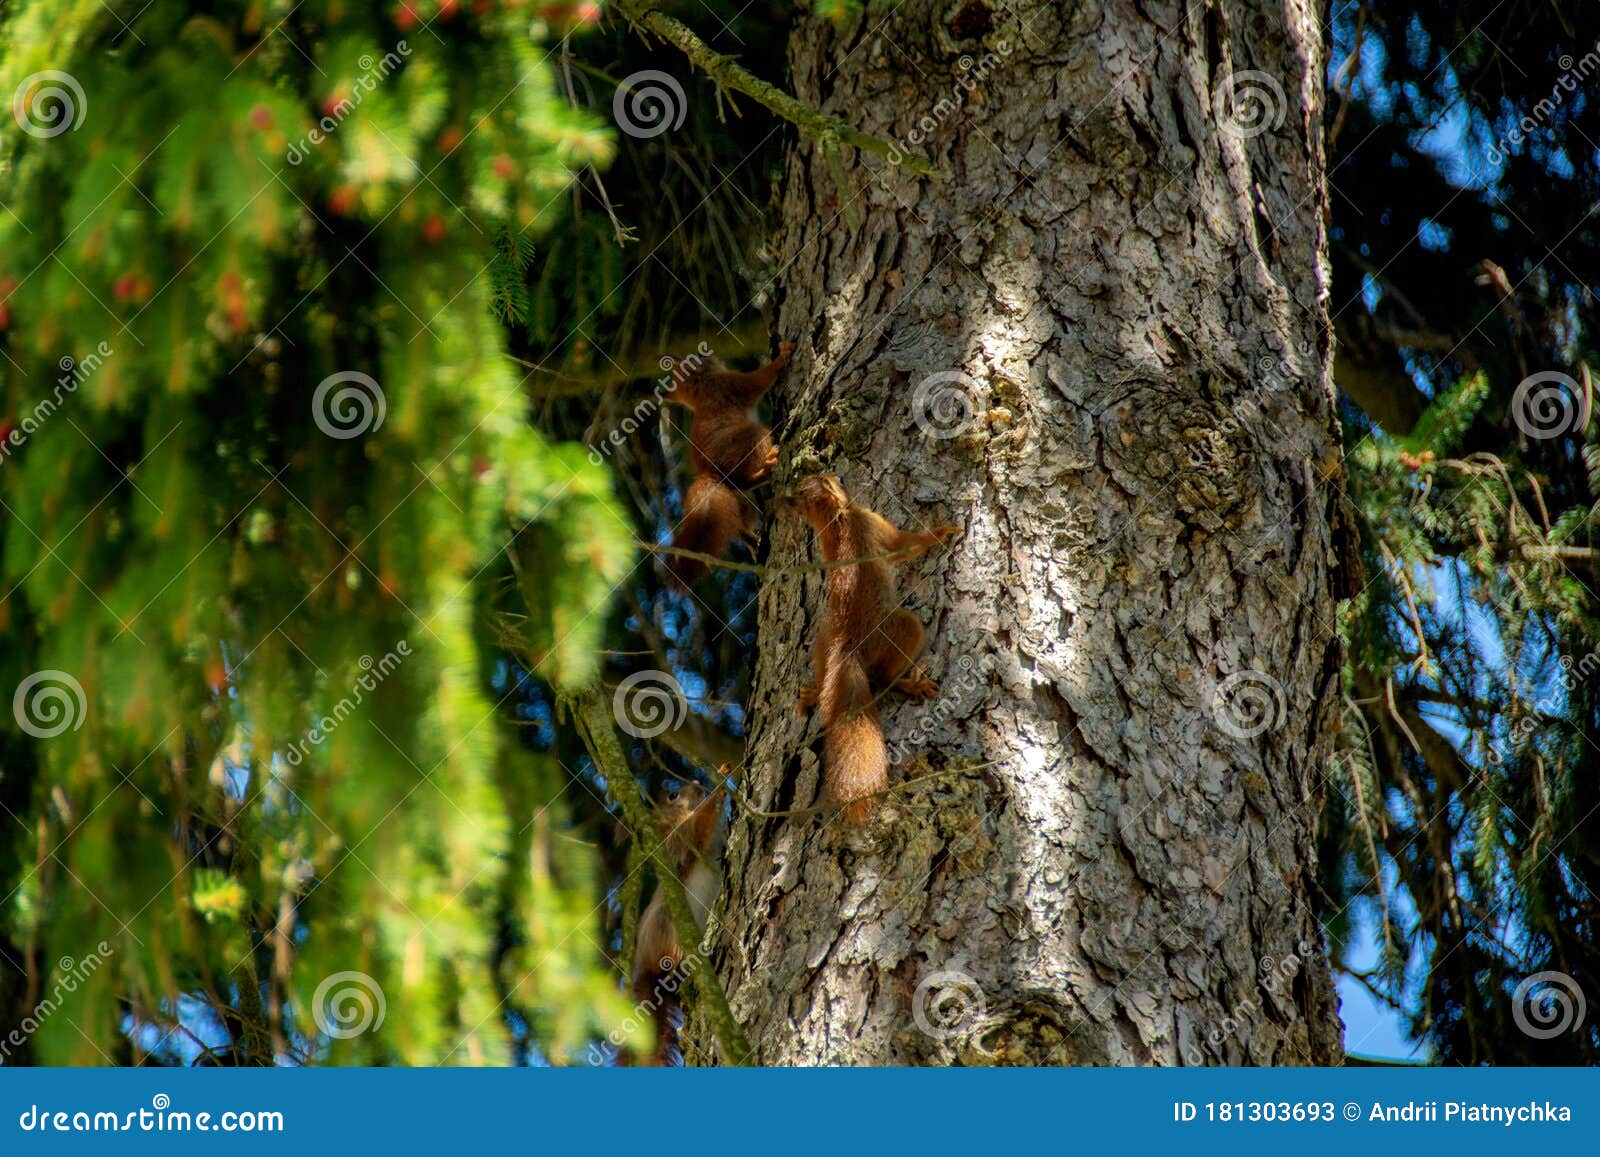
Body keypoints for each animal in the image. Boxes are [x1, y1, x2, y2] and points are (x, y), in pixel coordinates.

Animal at [631, 775, 724, 1065]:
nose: (699, 784)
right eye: (673, 795)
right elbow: (697, 829)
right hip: (664, 922)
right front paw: (721, 791)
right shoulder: (680, 842)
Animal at [663, 342, 794, 588]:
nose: (706, 351)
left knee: (738, 522)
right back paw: (766, 469)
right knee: (741, 480)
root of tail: (711, 474)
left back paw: (754, 542)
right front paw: (782, 356)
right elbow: (760, 379)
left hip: (742, 502)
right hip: (750, 438)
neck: (700, 387)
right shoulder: (731, 384)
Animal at [788, 475, 961, 822]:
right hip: (903, 628)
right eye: (835, 479)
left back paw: (813, 694)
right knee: (884, 677)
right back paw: (912, 684)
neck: (837, 520)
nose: (841, 477)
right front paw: (939, 533)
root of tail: (849, 647)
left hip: (824, 637)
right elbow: (905, 546)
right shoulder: (873, 525)